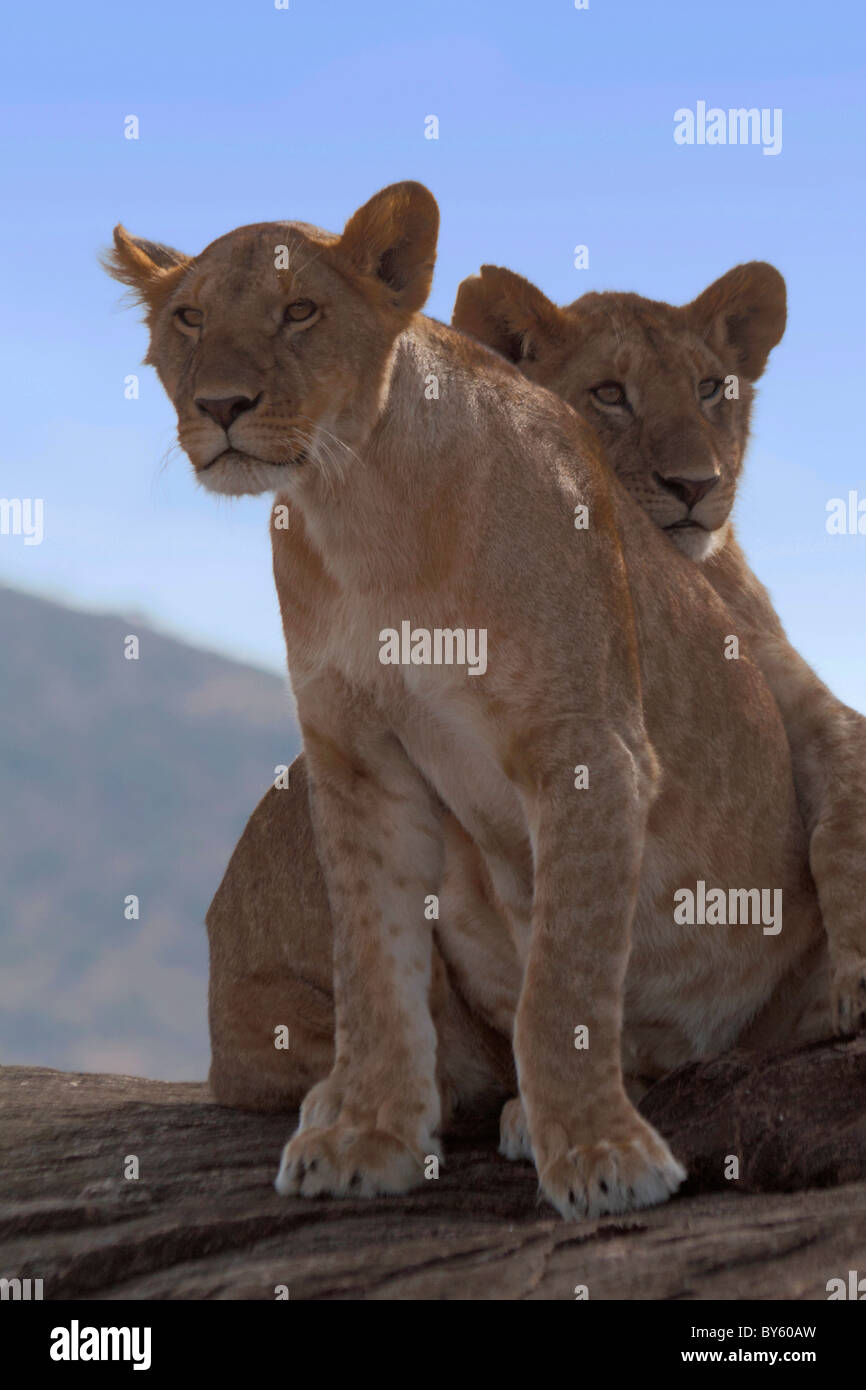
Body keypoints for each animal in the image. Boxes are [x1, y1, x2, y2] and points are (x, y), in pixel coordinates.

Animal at [451, 262, 866, 1038]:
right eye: (610, 394)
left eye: (709, 388)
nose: (696, 485)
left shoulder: (804, 697)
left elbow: (847, 816)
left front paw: (856, 979)